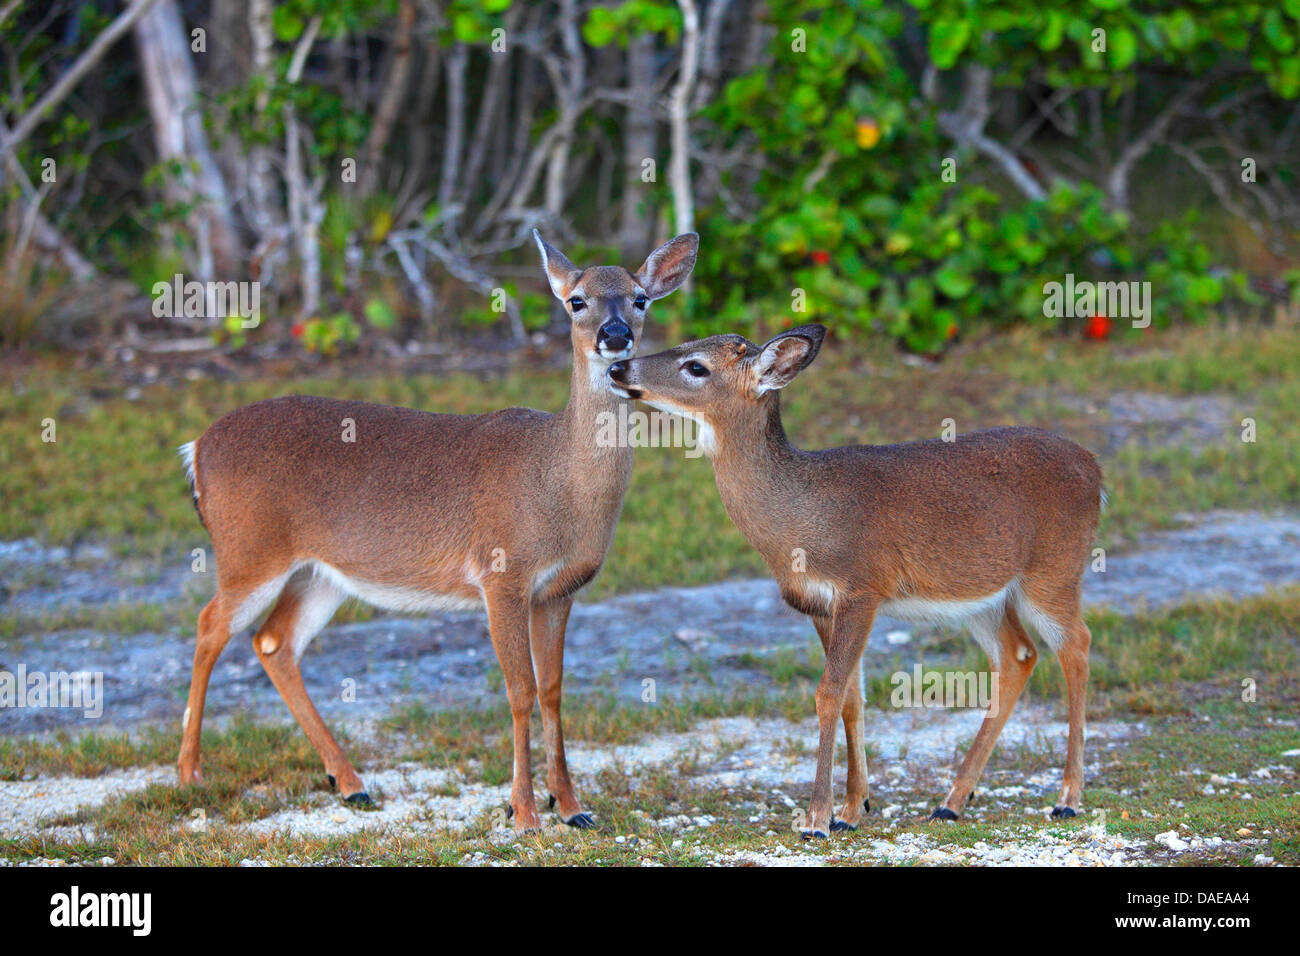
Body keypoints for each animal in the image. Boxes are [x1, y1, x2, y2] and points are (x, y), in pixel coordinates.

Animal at [175, 229, 698, 832]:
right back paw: (190, 772)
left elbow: (552, 691)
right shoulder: (502, 574)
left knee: (273, 641)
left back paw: (350, 783)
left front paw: (571, 807)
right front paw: (523, 812)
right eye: (576, 301)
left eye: (641, 299)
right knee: (210, 625)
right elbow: (519, 691)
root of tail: (196, 450)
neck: (559, 484)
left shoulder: (559, 590)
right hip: (249, 550)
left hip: (320, 573)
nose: (615, 336)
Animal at [607, 324, 1102, 837]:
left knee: (1076, 645)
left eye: (696, 366)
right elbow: (850, 698)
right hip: (981, 595)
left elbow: (827, 693)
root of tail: (1095, 468)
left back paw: (1067, 797)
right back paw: (951, 802)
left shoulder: (863, 588)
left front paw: (817, 818)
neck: (801, 516)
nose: (618, 367)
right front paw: (851, 808)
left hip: (1053, 569)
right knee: (1018, 654)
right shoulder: (819, 604)